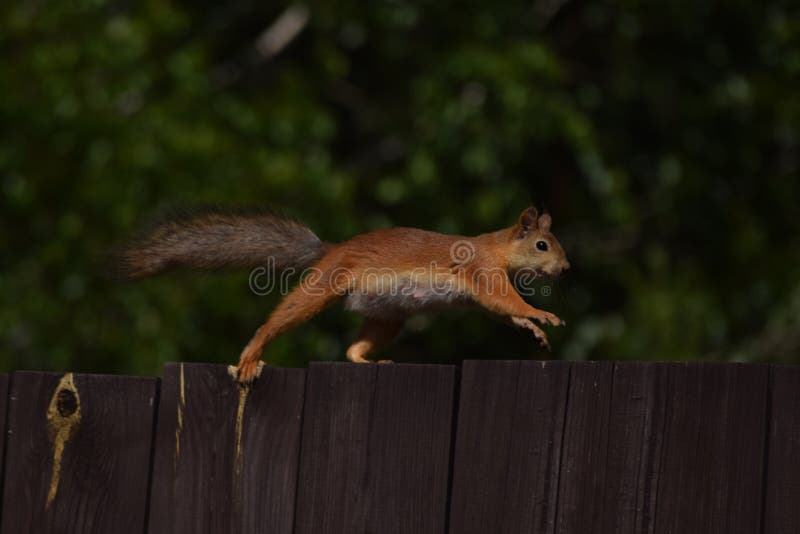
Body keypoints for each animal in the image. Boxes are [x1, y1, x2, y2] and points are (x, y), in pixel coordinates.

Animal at [116, 206, 570, 382]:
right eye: (542, 245)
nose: (566, 269)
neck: (496, 247)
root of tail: (331, 250)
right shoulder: (483, 272)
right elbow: (506, 301)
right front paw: (542, 314)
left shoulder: (481, 293)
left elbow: (503, 312)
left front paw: (534, 328)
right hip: (323, 288)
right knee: (279, 318)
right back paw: (252, 354)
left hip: (389, 319)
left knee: (354, 347)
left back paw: (371, 361)